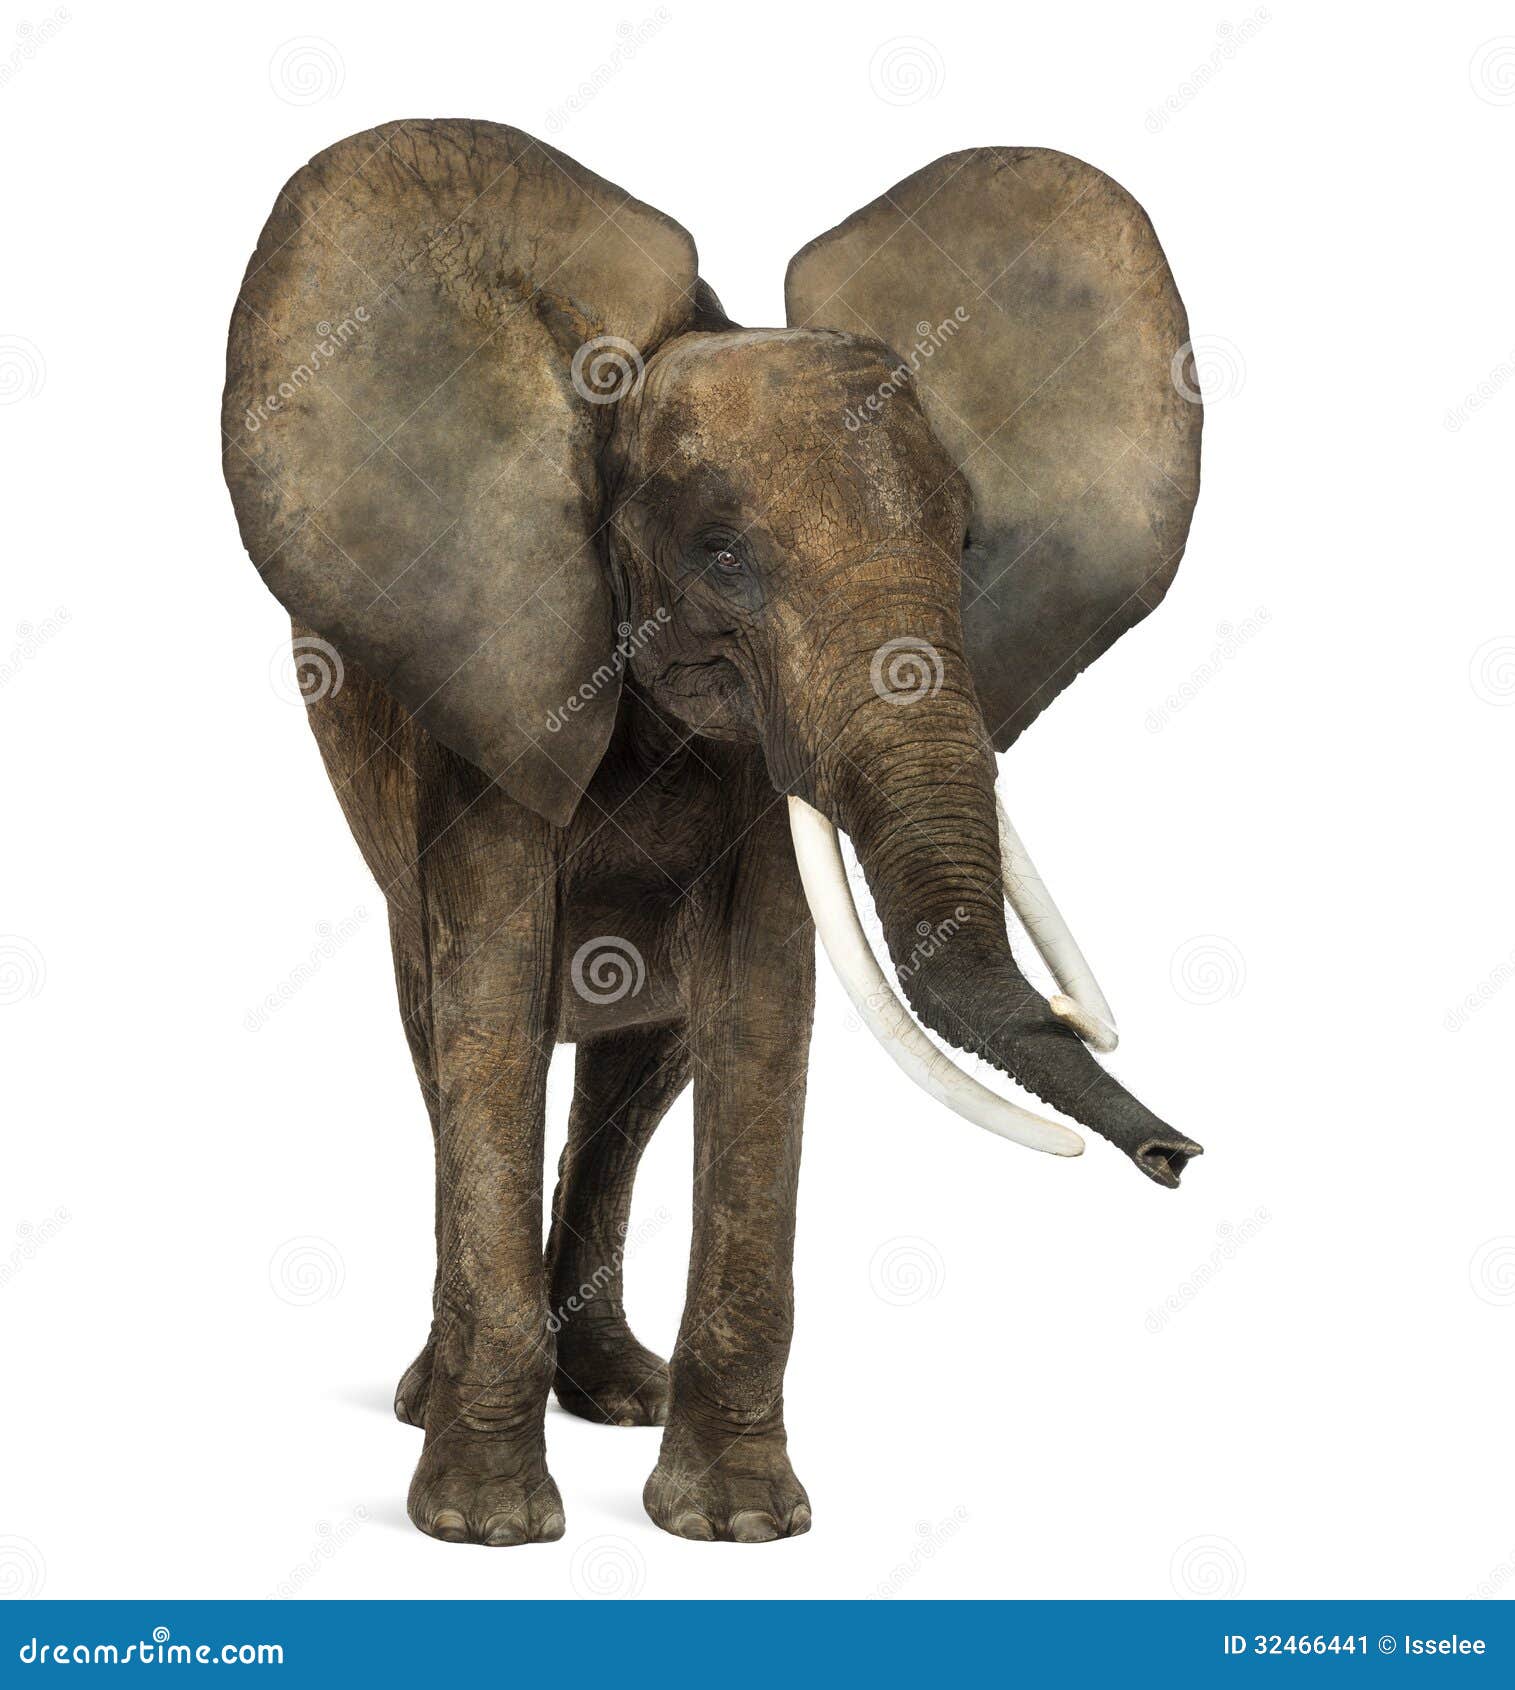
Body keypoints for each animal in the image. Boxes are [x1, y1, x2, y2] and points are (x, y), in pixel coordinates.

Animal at [222, 119, 1204, 1546]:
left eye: (967, 542)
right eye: (724, 556)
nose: (1178, 1157)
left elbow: (758, 1004)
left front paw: (736, 1526)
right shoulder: (497, 704)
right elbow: (491, 1007)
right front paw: (485, 1528)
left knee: (646, 1059)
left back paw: (616, 1394)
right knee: (441, 1035)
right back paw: (431, 1399)